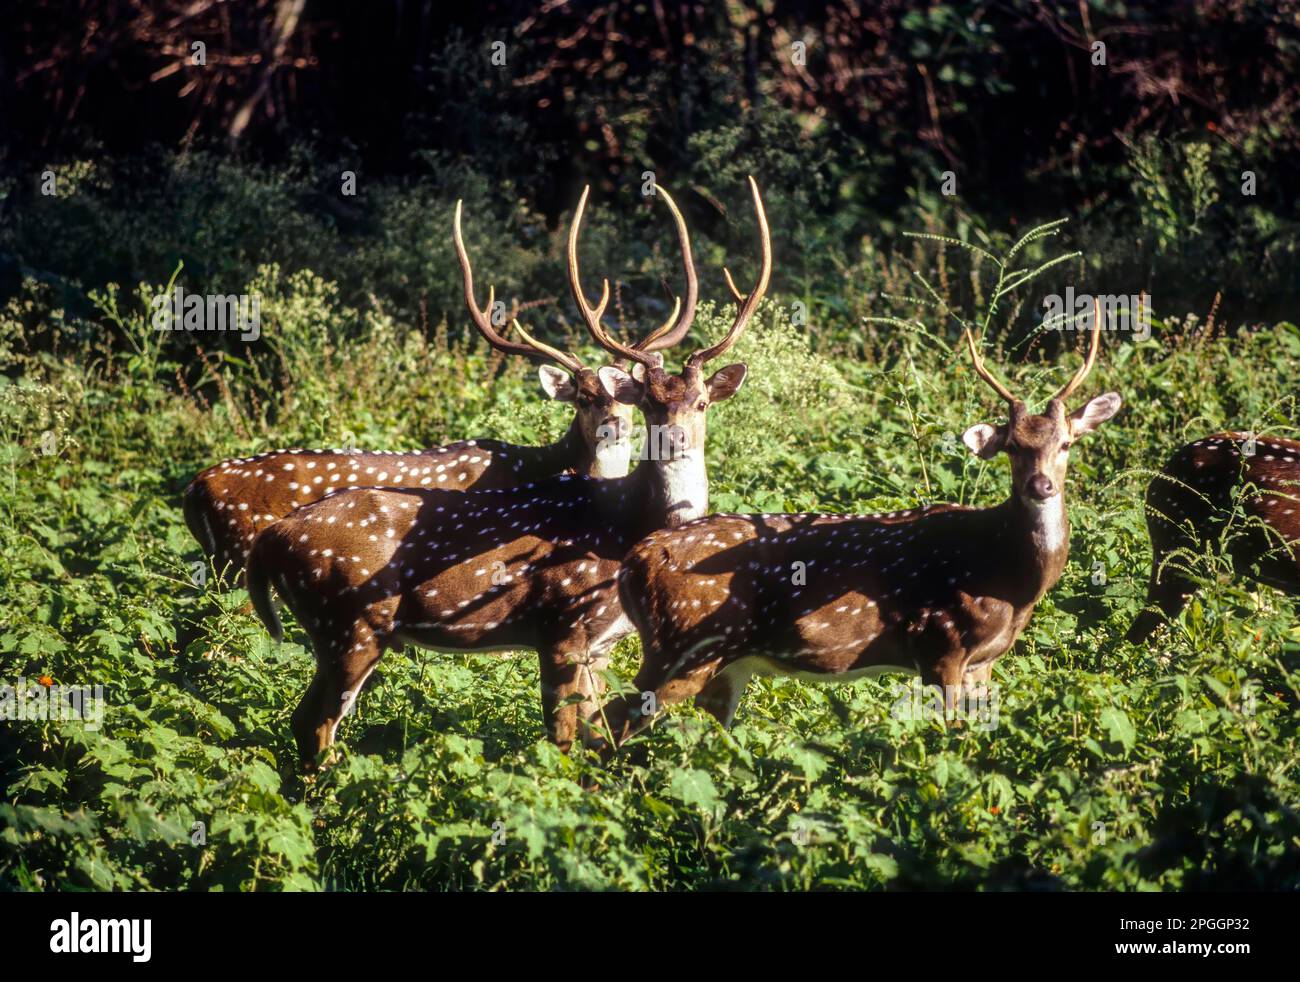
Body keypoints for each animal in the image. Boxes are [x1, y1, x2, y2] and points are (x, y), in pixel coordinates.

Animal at [244, 178, 772, 768]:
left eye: (701, 402)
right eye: (652, 405)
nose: (675, 439)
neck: (629, 528)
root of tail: (269, 541)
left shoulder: (602, 642)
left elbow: (595, 735)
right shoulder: (561, 623)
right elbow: (562, 738)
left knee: (305, 721)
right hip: (351, 622)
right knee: (315, 724)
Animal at [586, 299, 1121, 758]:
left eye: (1067, 442)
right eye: (1012, 447)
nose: (1041, 484)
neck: (1006, 577)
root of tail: (635, 561)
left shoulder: (984, 661)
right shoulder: (938, 641)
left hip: (719, 662)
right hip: (682, 645)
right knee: (605, 724)